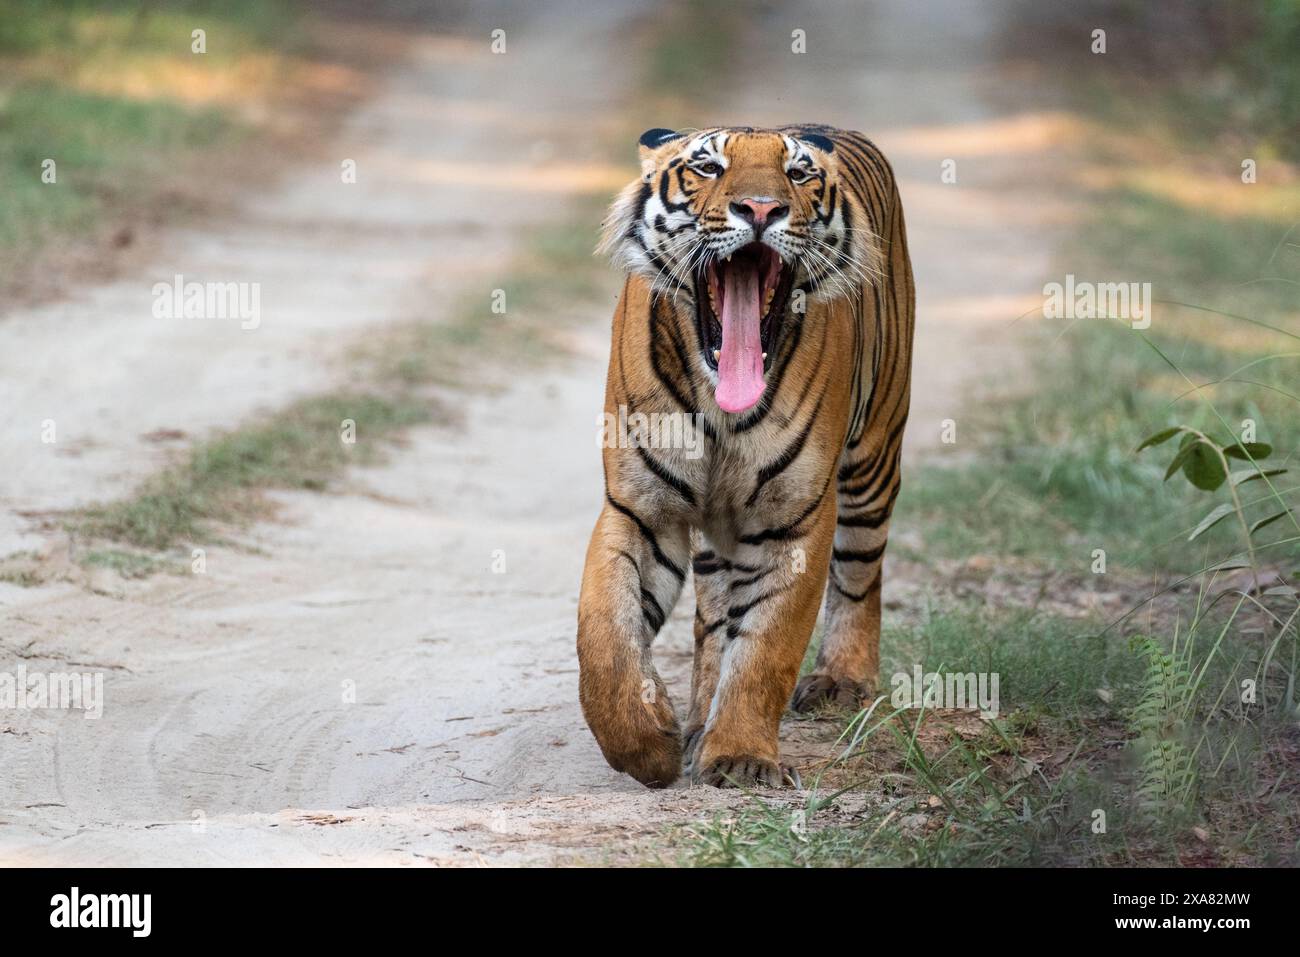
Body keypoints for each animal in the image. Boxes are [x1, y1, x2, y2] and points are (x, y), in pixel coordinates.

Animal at [576, 124, 914, 788]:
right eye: (708, 167)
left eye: (799, 174)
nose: (760, 210)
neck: (722, 408)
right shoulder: (640, 509)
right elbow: (603, 638)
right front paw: (647, 744)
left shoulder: (795, 521)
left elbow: (766, 649)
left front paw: (739, 756)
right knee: (712, 617)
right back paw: (695, 720)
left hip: (873, 458)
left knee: (861, 573)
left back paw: (841, 681)